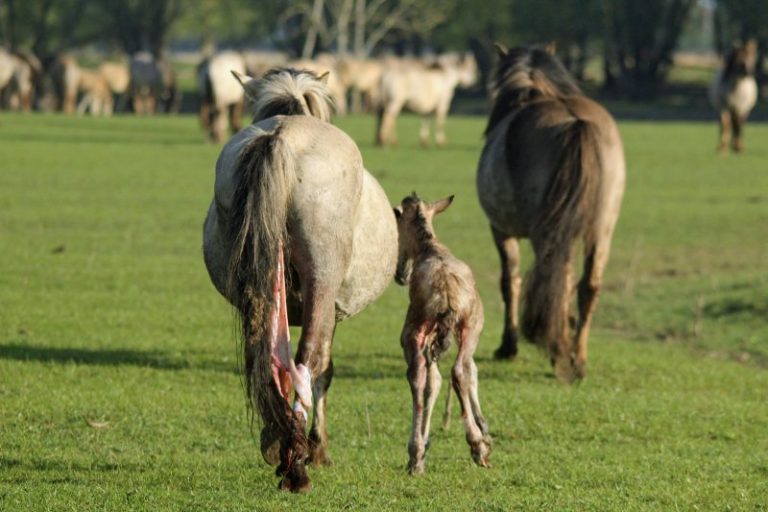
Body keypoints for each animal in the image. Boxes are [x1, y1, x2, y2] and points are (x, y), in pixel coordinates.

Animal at [202, 68, 397, 491]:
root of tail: (282, 139)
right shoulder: (332, 308)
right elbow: (326, 369)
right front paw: (318, 447)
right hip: (321, 281)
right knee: (309, 357)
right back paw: (297, 462)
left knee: (261, 353)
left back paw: (279, 440)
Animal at [394, 193, 491, 475]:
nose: (400, 274)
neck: (432, 249)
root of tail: (446, 291)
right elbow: (469, 371)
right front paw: (483, 431)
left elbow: (432, 382)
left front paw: (423, 449)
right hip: (468, 328)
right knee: (458, 371)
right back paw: (476, 445)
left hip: (415, 333)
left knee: (420, 376)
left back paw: (415, 454)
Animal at [477, 44, 625, 382]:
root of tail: (576, 121)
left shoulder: (500, 230)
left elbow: (510, 281)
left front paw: (508, 346)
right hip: (603, 229)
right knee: (587, 285)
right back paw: (577, 358)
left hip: (546, 233)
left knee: (557, 276)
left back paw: (558, 353)